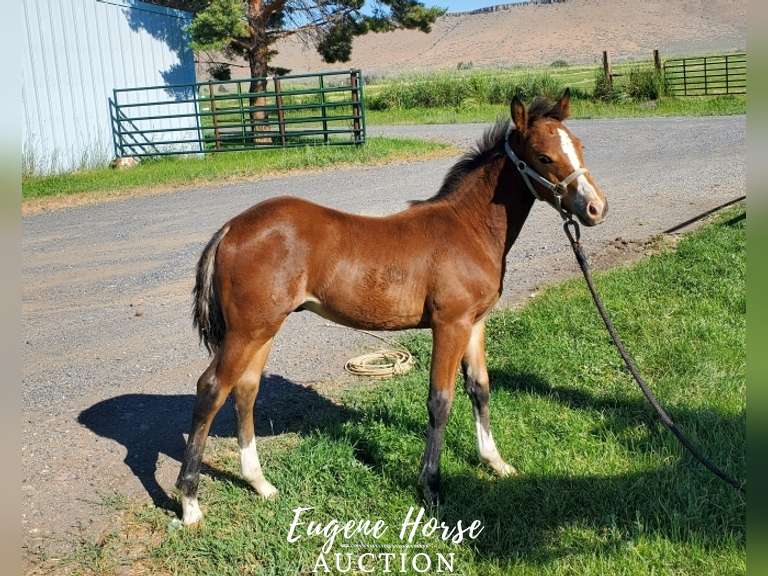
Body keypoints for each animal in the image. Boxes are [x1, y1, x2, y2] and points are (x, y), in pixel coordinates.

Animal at [176, 89, 608, 525]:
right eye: (543, 157)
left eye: (580, 146)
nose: (596, 208)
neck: (468, 228)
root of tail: (231, 228)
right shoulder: (450, 324)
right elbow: (440, 400)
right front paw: (431, 487)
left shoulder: (475, 323)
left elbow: (480, 388)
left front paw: (495, 462)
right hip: (247, 329)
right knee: (211, 388)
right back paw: (190, 503)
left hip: (263, 328)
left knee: (245, 389)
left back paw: (260, 484)